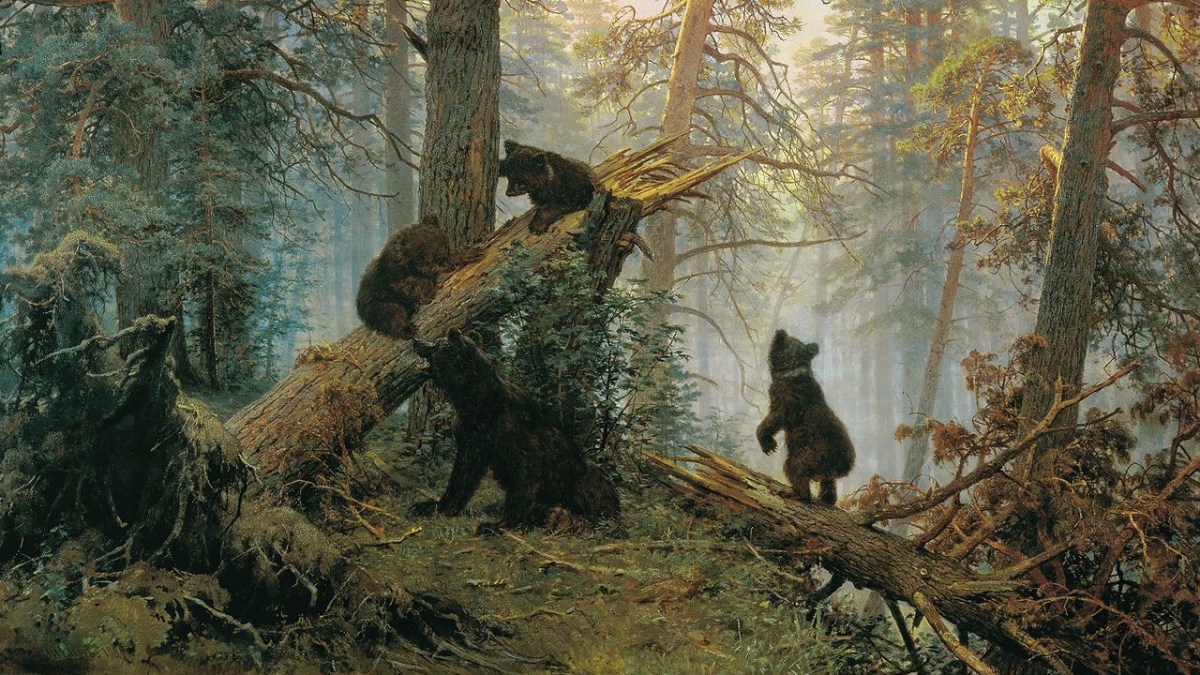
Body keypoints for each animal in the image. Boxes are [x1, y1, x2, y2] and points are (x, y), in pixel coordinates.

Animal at [410, 329, 619, 530]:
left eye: (437, 344)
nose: (416, 341)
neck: (473, 402)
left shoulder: (520, 444)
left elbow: (523, 484)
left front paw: (499, 525)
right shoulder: (470, 440)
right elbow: (461, 476)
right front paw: (434, 506)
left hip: (582, 478)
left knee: (594, 486)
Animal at [756, 330, 855, 505]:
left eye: (788, 341)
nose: (780, 332)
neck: (790, 372)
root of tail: (846, 462)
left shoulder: (787, 403)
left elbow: (773, 420)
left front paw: (768, 444)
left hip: (814, 455)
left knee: (796, 468)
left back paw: (794, 493)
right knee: (828, 482)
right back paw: (826, 498)